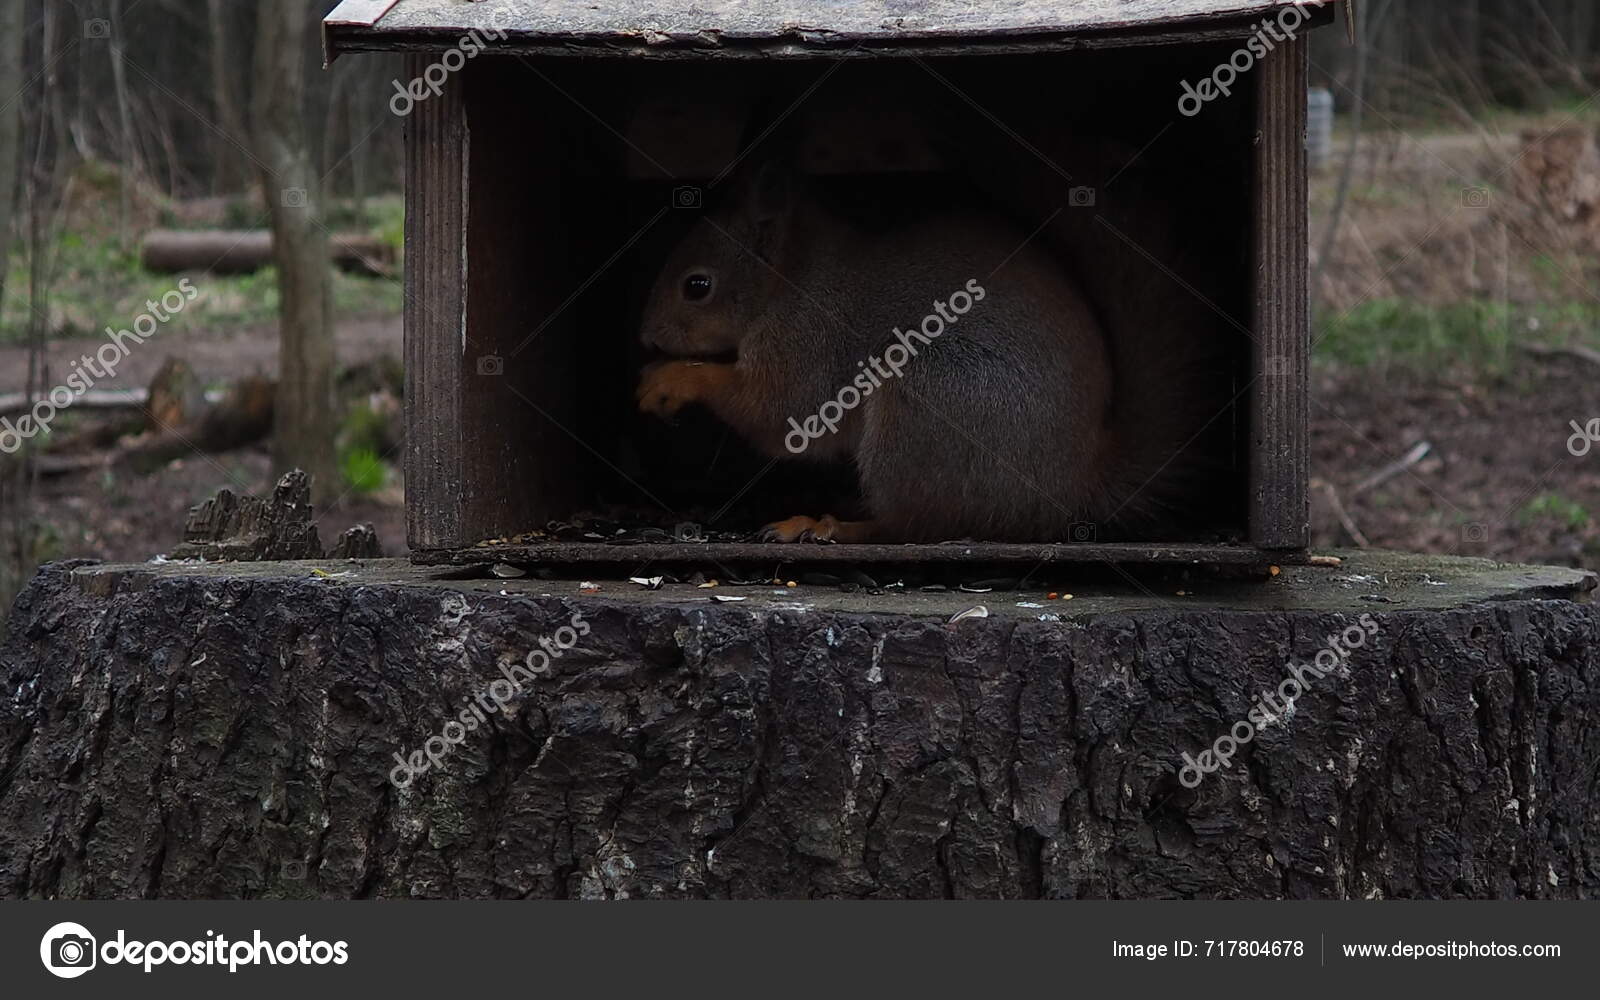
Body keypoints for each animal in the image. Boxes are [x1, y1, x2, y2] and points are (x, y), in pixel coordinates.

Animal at [636, 154, 1226, 544]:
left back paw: (827, 525)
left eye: (697, 286)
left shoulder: (810, 347)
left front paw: (671, 380)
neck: (792, 283)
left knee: (911, 524)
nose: (645, 335)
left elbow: (774, 412)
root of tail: (1072, 483)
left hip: (928, 407)